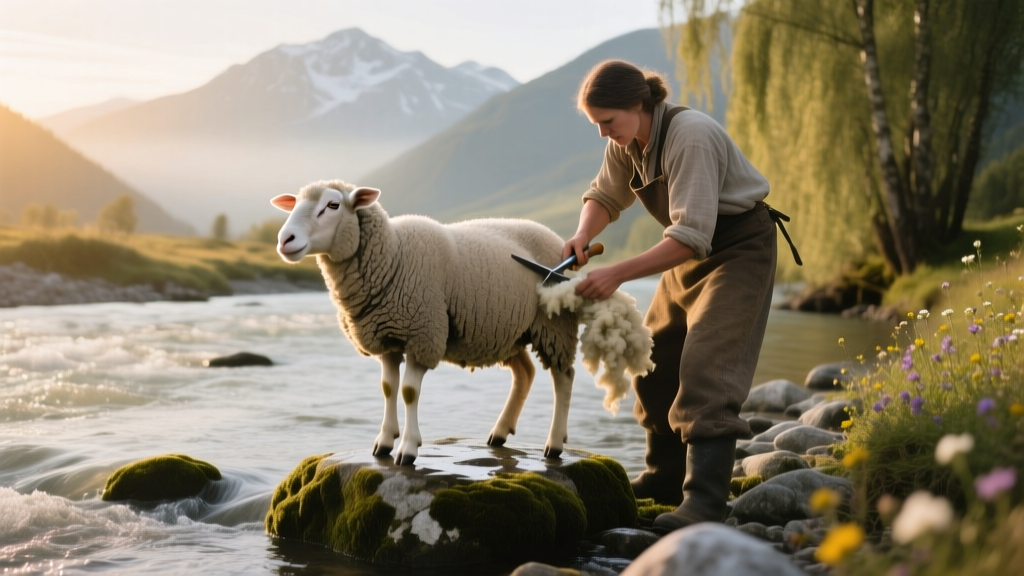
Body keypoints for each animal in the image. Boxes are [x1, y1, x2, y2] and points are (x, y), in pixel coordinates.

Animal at [271, 180, 583, 465]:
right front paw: (384, 442)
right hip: (506, 331)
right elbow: (388, 387)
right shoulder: (387, 337)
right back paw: (499, 433)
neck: (392, 255)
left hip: (555, 326)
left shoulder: (423, 334)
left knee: (563, 377)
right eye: (295, 203)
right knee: (525, 373)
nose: (285, 240)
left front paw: (408, 449)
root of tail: (555, 238)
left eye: (333, 205)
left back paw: (554, 444)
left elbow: (409, 392)